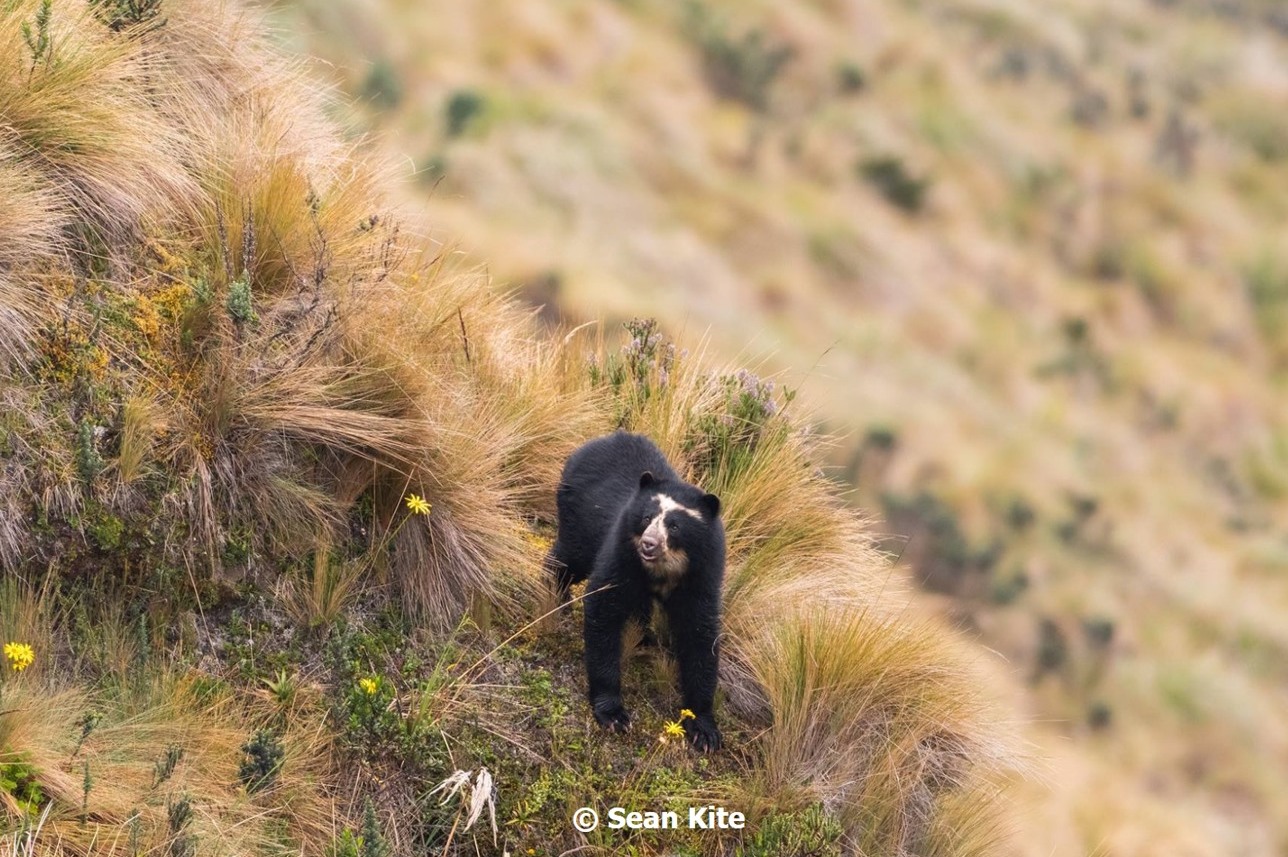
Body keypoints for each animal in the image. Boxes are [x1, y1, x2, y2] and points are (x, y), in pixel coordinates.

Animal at [547, 431, 725, 752]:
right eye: (646, 518)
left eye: (675, 526)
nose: (648, 544)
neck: (665, 569)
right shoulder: (622, 550)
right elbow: (603, 608)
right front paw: (613, 714)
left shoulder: (703, 573)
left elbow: (700, 635)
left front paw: (704, 730)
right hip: (578, 516)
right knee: (569, 557)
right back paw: (557, 595)